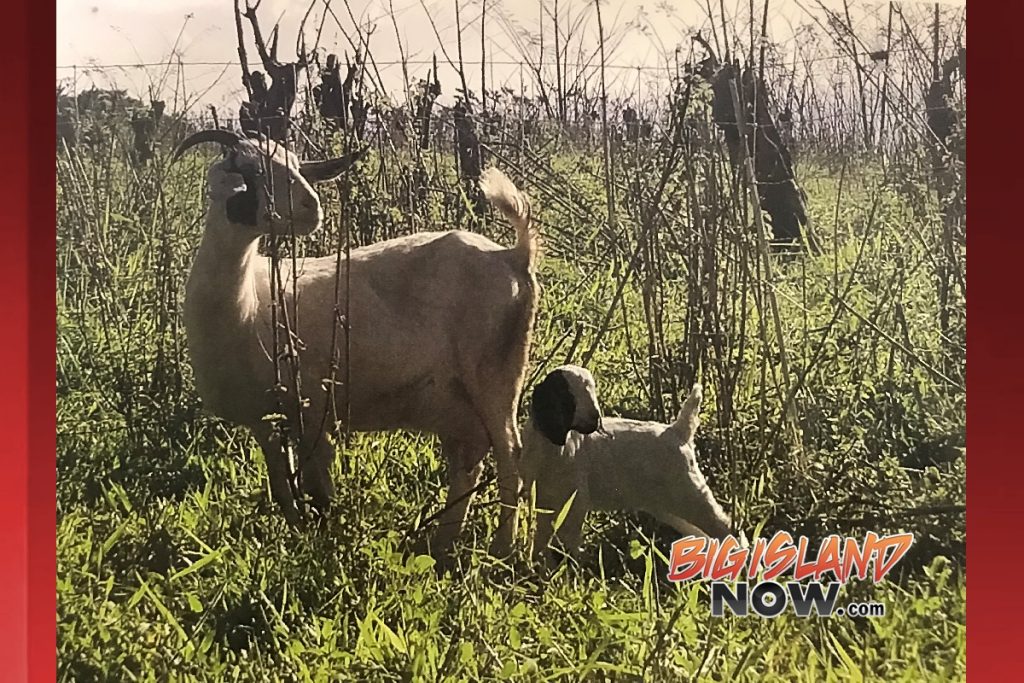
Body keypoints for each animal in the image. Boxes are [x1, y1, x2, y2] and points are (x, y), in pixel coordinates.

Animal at [173, 130, 538, 558]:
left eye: (296, 167)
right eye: (248, 170)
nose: (311, 206)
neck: (250, 301)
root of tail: (514, 255)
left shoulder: (315, 409)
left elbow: (319, 490)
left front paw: (320, 540)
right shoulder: (267, 421)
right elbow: (284, 489)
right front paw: (298, 536)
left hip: (496, 374)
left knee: (510, 458)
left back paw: (501, 547)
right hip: (454, 400)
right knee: (468, 463)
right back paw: (442, 544)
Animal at [519, 365, 736, 563]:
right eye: (568, 394)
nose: (596, 418)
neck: (549, 446)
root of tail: (678, 431)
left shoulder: (574, 503)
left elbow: (566, 543)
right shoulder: (544, 503)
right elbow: (542, 541)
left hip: (689, 493)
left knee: (723, 526)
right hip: (669, 505)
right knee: (698, 532)